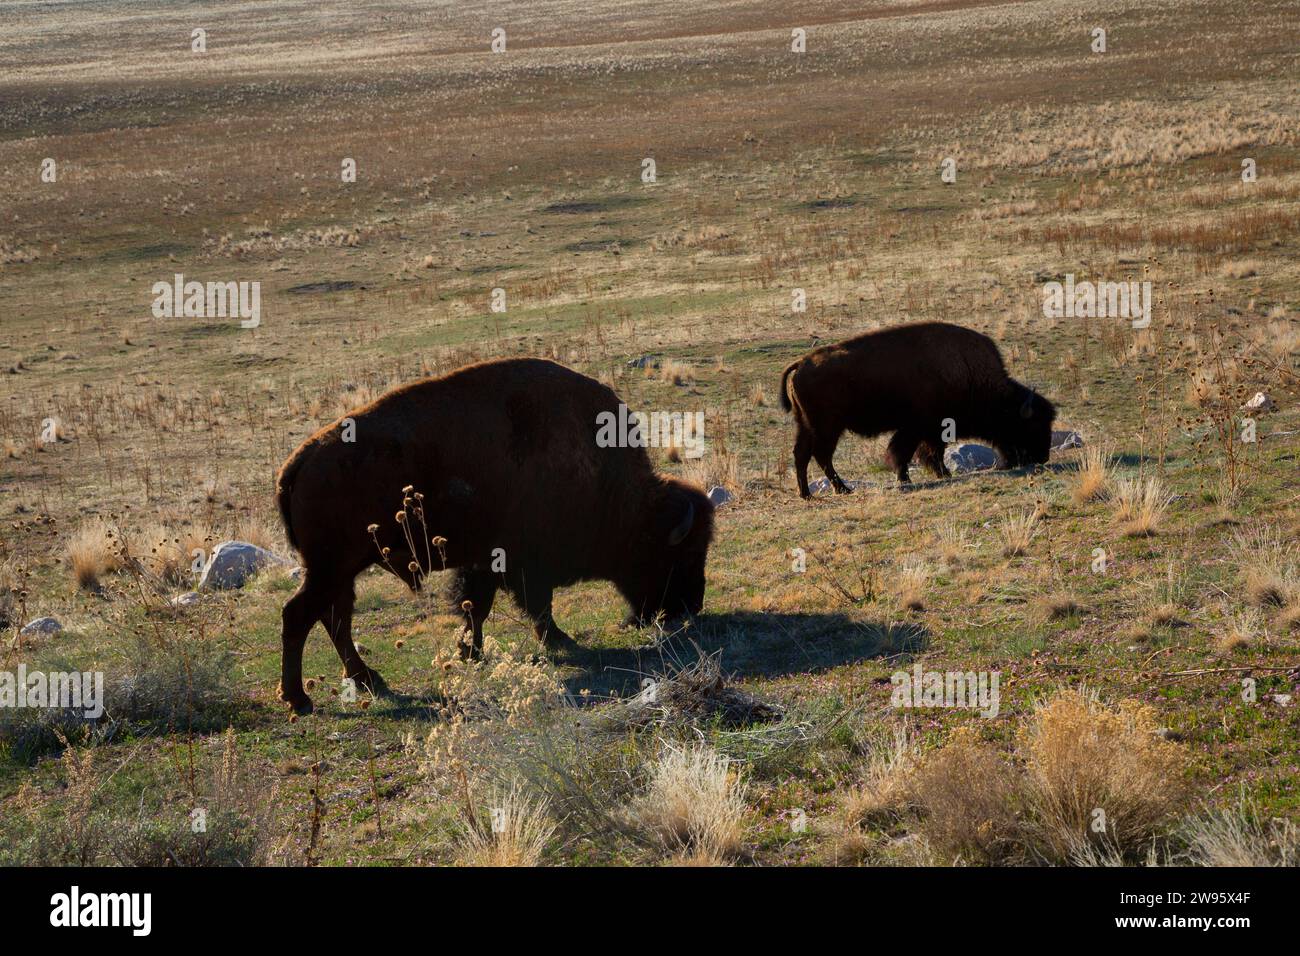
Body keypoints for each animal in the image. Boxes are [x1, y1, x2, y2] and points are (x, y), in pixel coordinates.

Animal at [274, 358, 714, 714]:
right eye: (680, 554)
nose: (691, 606)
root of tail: (299, 461)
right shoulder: (519, 563)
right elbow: (525, 604)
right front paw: (558, 641)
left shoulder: (485, 562)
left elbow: (478, 606)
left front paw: (471, 650)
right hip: (331, 568)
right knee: (300, 615)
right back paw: (300, 699)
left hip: (340, 571)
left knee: (335, 618)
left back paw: (369, 680)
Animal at [779, 321, 1056, 497]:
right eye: (1031, 424)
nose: (1042, 457)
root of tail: (801, 363)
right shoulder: (920, 427)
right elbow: (910, 452)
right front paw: (910, 477)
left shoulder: (928, 430)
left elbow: (928, 451)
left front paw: (940, 474)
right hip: (828, 427)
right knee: (821, 455)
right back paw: (842, 489)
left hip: (806, 425)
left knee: (802, 455)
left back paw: (807, 494)